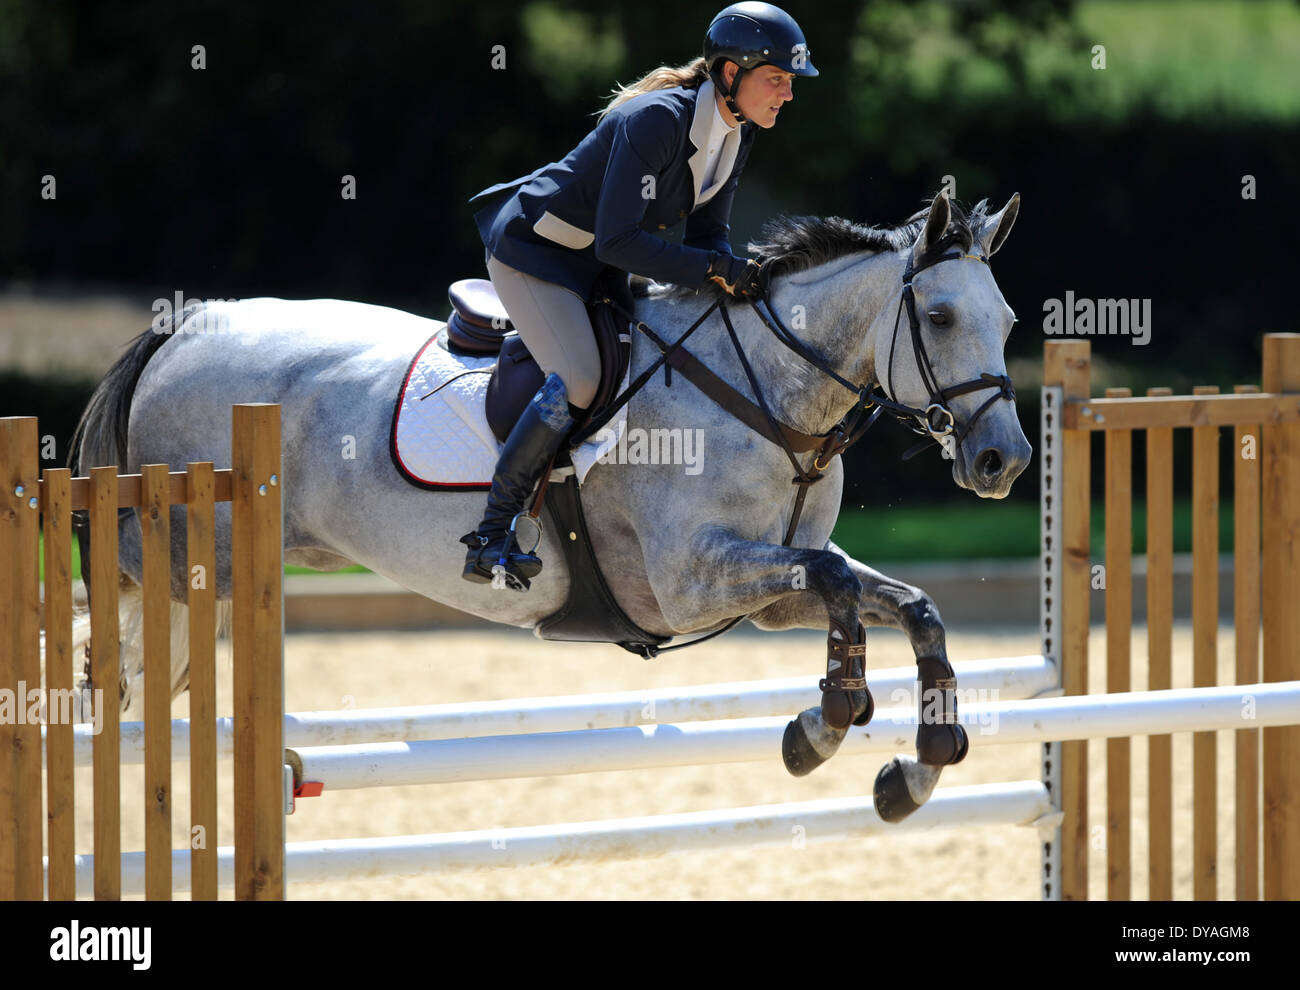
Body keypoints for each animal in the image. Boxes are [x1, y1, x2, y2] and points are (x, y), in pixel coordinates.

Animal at [68, 190, 1030, 822]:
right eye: (940, 318)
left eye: (1011, 320)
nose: (1003, 461)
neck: (767, 396)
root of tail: (189, 327)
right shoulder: (690, 581)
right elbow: (836, 585)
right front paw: (821, 726)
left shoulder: (762, 592)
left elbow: (904, 603)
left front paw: (914, 767)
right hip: (189, 557)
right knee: (118, 614)